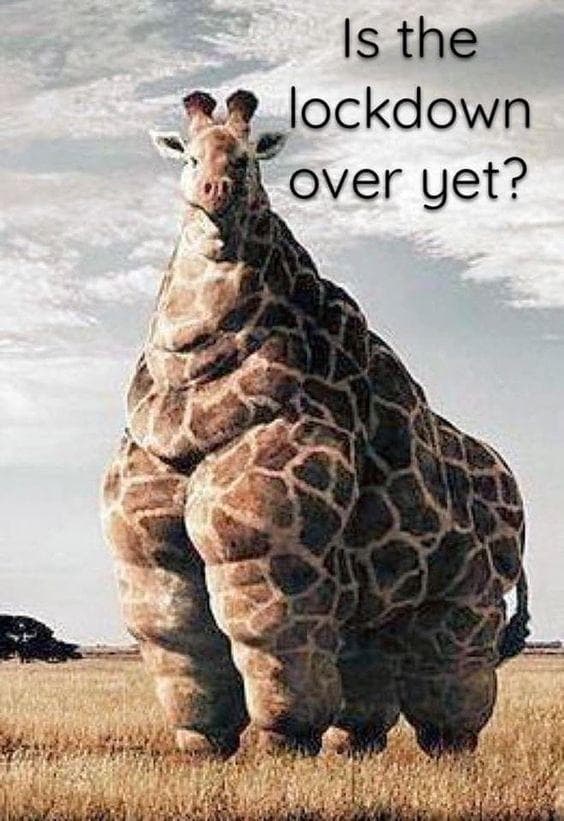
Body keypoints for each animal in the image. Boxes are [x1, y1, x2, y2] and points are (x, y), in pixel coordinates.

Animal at [101, 89, 529, 759]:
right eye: (189, 155)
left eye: (249, 157)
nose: (215, 192)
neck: (189, 398)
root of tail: (515, 490)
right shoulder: (149, 555)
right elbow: (181, 641)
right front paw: (204, 747)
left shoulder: (268, 548)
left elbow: (274, 647)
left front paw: (285, 747)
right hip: (385, 601)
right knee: (370, 682)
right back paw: (354, 746)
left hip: (467, 589)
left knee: (453, 677)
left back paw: (447, 749)